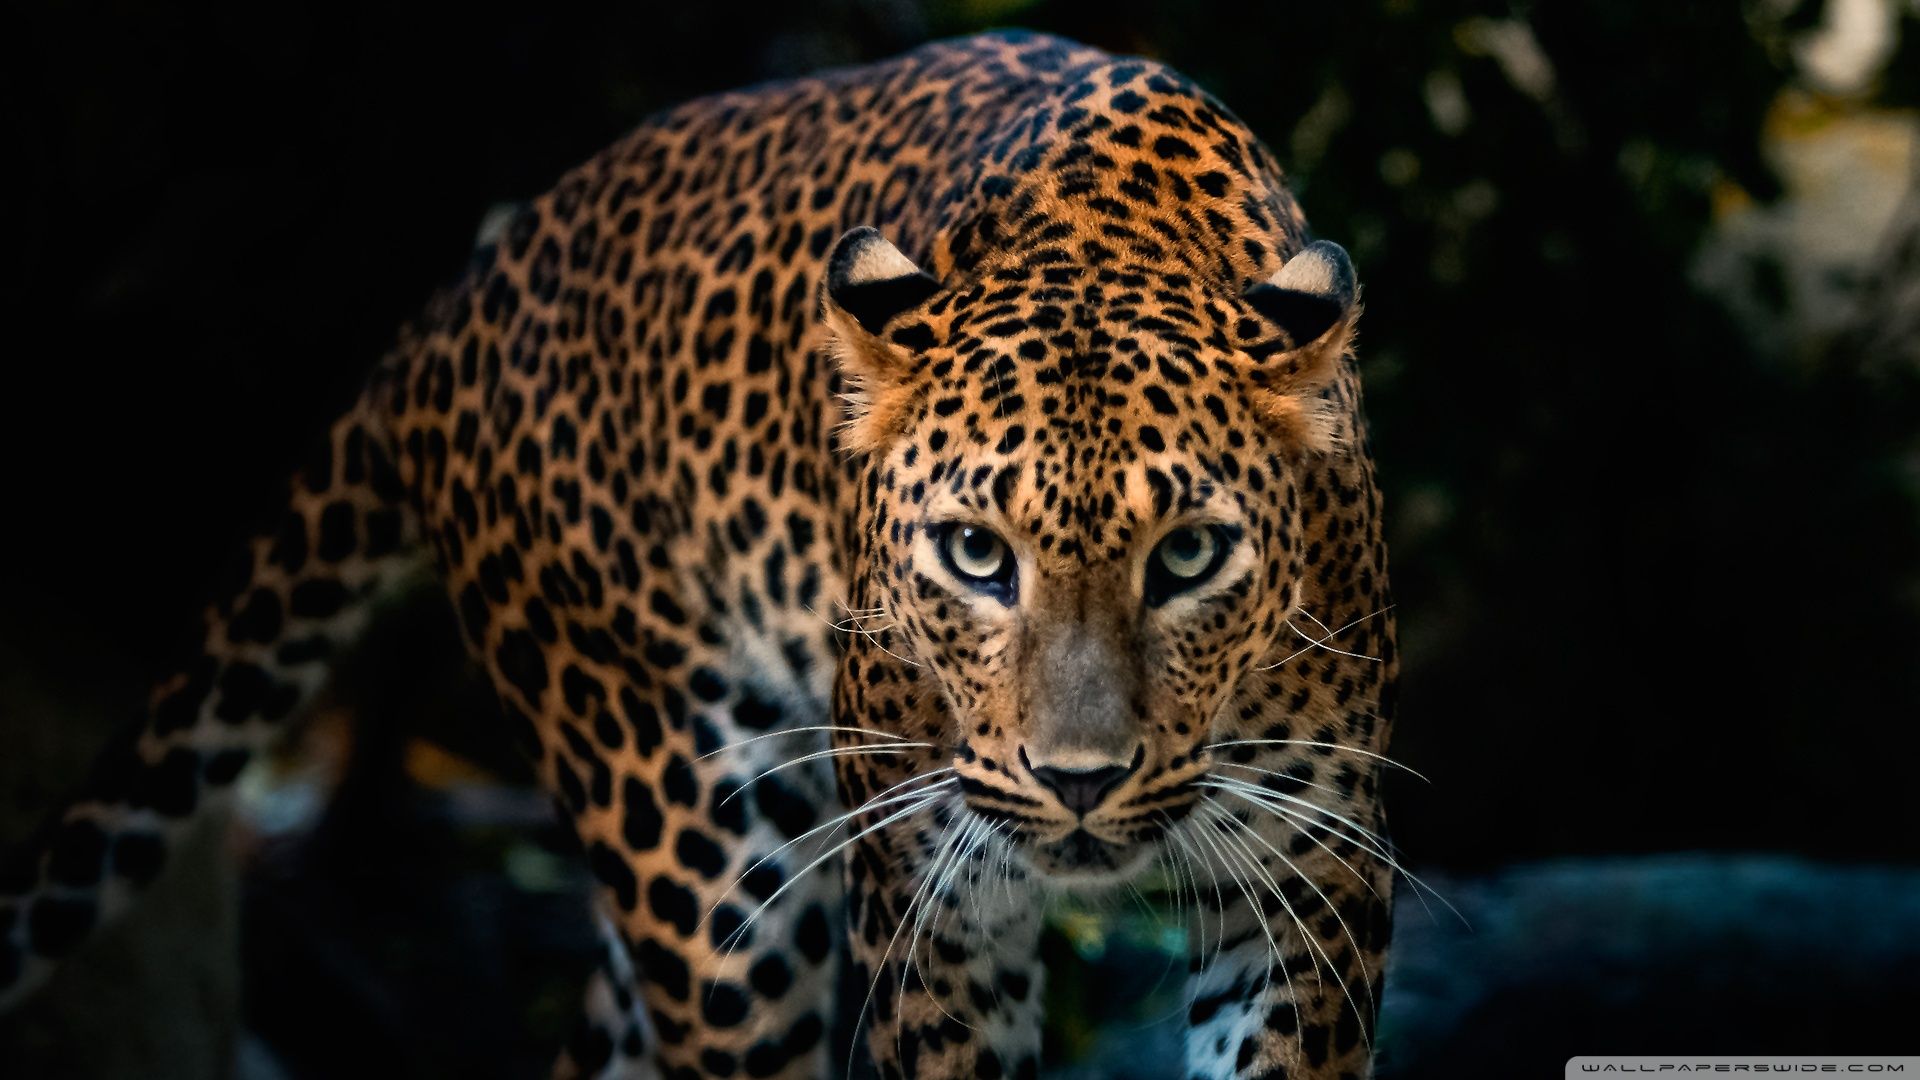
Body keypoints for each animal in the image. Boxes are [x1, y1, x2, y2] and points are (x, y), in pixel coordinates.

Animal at [0, 29, 1399, 1080]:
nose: (1079, 782)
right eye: (975, 556)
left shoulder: (1311, 883)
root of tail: (463, 297)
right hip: (698, 854)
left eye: (1190, 557)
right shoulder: (931, 902)